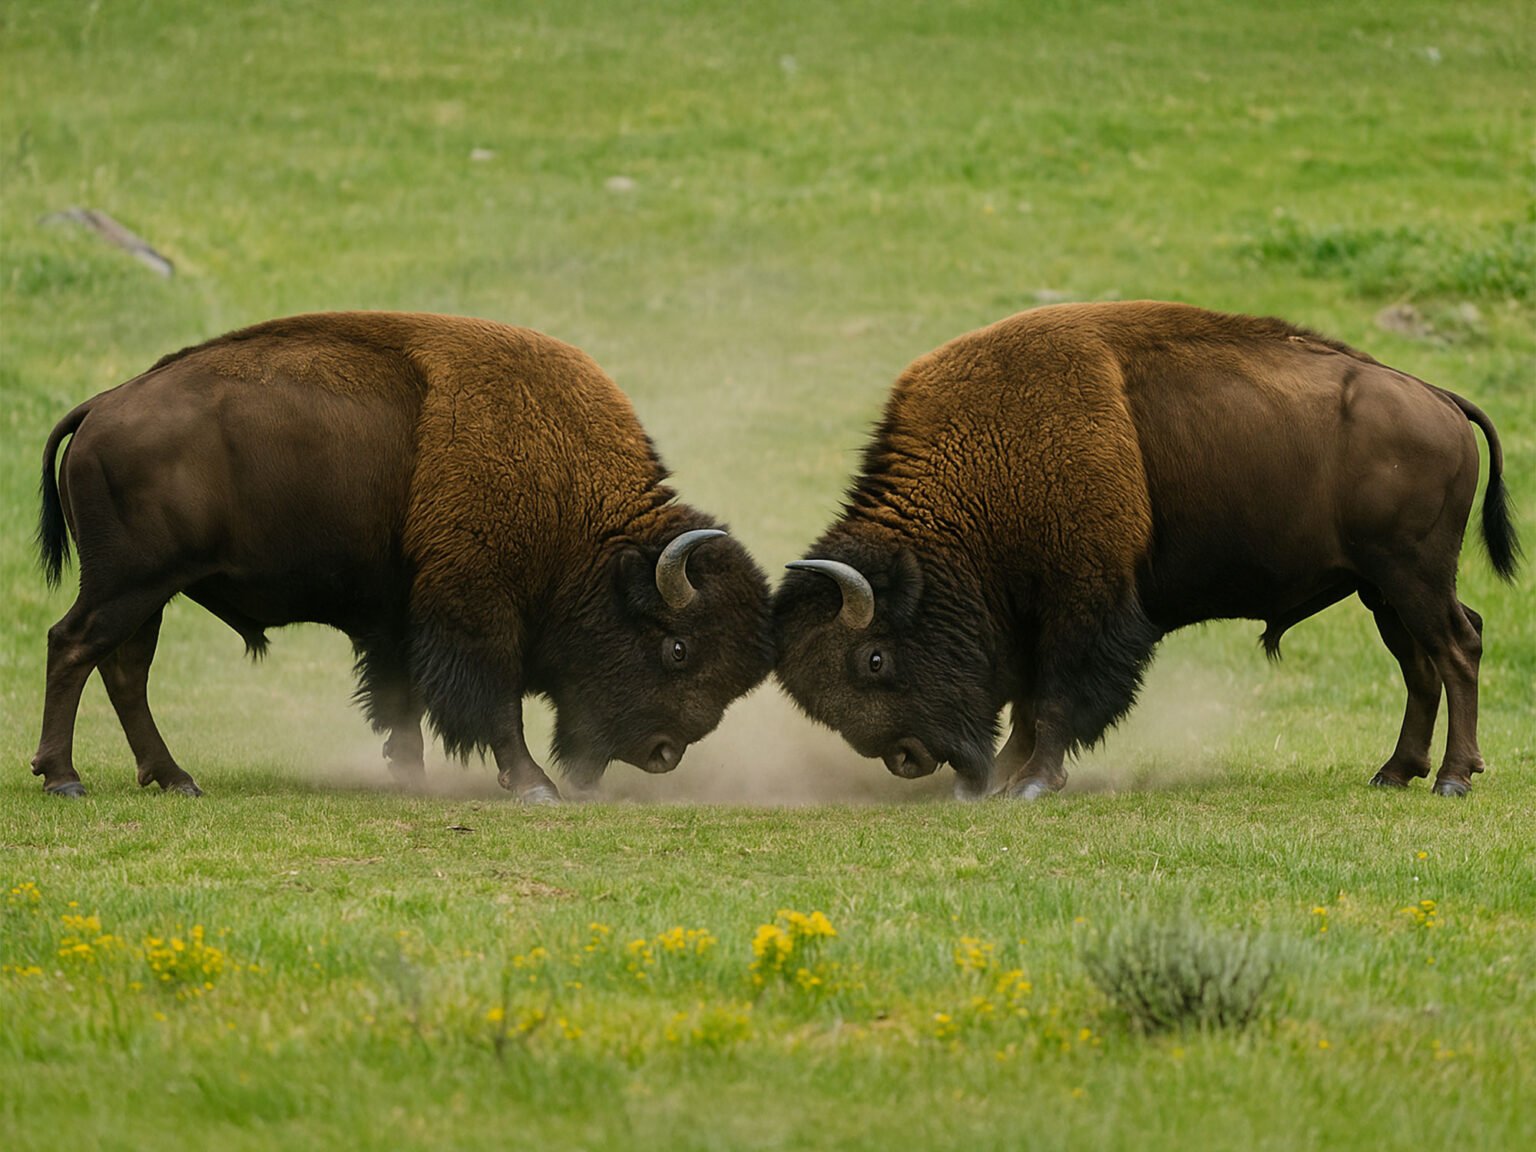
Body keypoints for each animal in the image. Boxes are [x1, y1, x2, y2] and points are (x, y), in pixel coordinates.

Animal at [33, 312, 773, 802]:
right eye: (677, 648)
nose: (663, 754)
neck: (576, 512)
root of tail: (101, 406)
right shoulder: (476, 612)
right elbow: (494, 703)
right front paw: (532, 785)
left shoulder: (399, 618)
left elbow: (401, 700)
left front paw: (408, 773)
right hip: (128, 583)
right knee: (72, 646)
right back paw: (65, 778)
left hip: (149, 594)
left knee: (123, 669)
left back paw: (172, 778)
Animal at [773, 301, 1520, 801]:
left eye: (873, 659)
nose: (908, 757)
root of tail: (1438, 398)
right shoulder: (1031, 617)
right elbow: (1025, 700)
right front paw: (1006, 779)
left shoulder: (1082, 604)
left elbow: (1053, 699)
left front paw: (1031, 784)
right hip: (1380, 589)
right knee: (1423, 664)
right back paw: (1393, 773)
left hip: (1412, 574)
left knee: (1458, 648)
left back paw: (1452, 779)